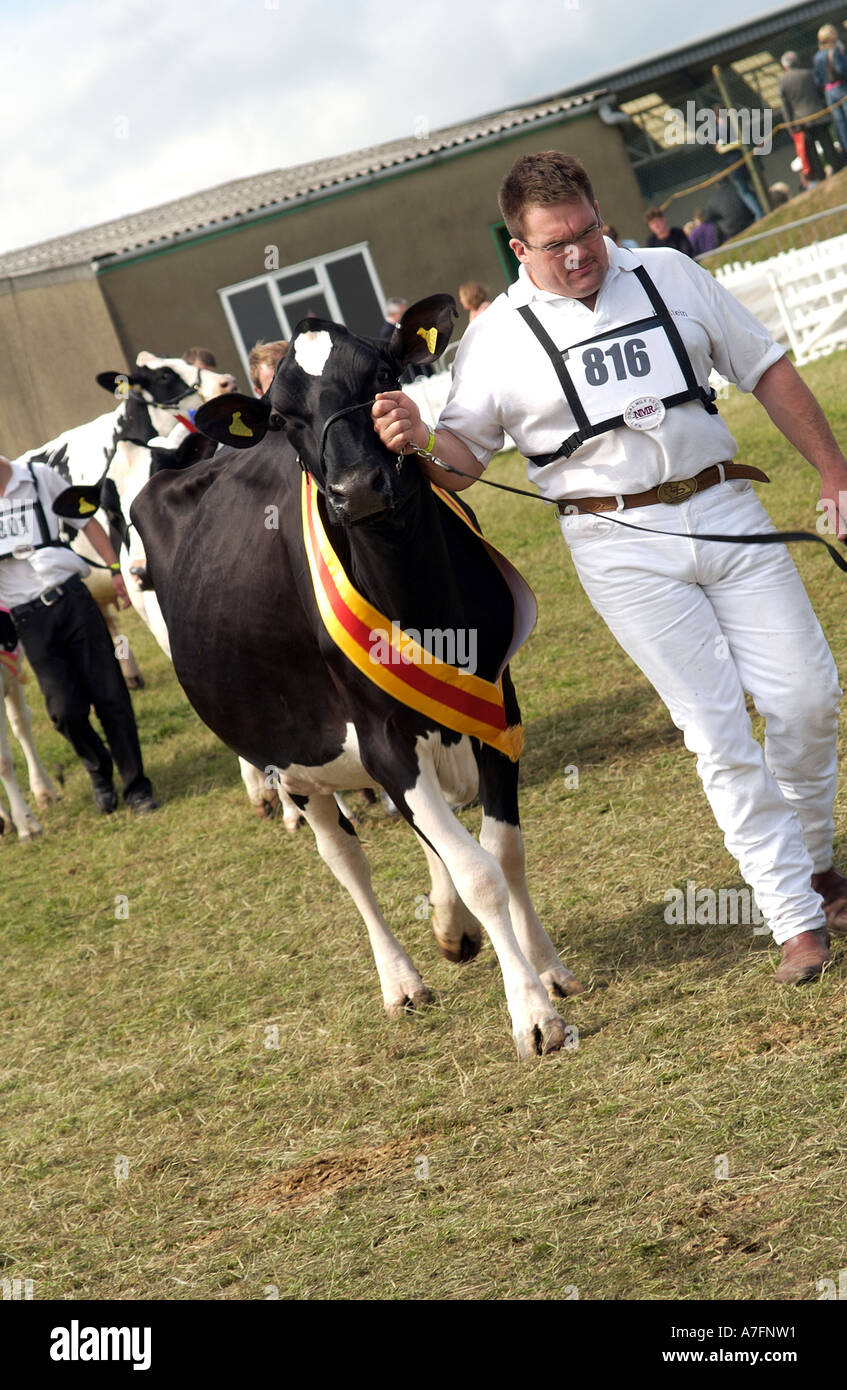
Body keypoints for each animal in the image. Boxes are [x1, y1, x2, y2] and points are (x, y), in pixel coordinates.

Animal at [131, 297, 583, 1058]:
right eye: (284, 417)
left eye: (381, 378)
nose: (358, 490)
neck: (420, 599)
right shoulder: (380, 736)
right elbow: (477, 870)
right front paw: (531, 1015)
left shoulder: (498, 706)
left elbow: (504, 852)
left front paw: (545, 968)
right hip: (286, 751)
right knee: (344, 857)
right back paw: (400, 980)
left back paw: (450, 929)